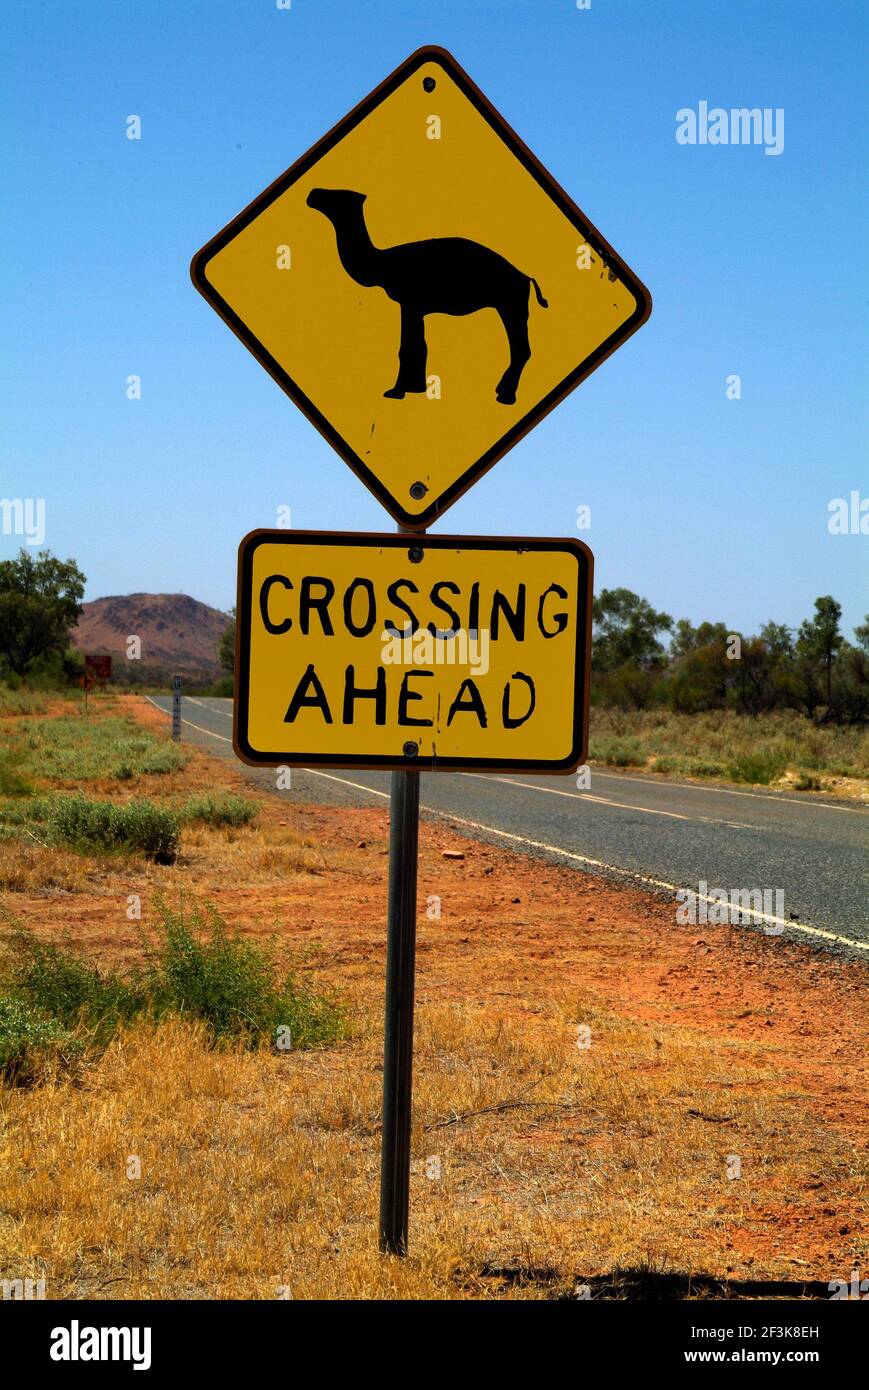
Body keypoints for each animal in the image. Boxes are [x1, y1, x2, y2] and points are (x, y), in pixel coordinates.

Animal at [306, 188, 548, 405]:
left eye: (338, 195)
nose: (313, 193)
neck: (383, 264)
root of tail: (525, 276)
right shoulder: (417, 308)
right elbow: (420, 345)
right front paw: (416, 389)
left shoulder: (409, 302)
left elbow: (407, 347)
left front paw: (396, 392)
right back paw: (501, 390)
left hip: (510, 304)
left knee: (521, 349)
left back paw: (506, 397)